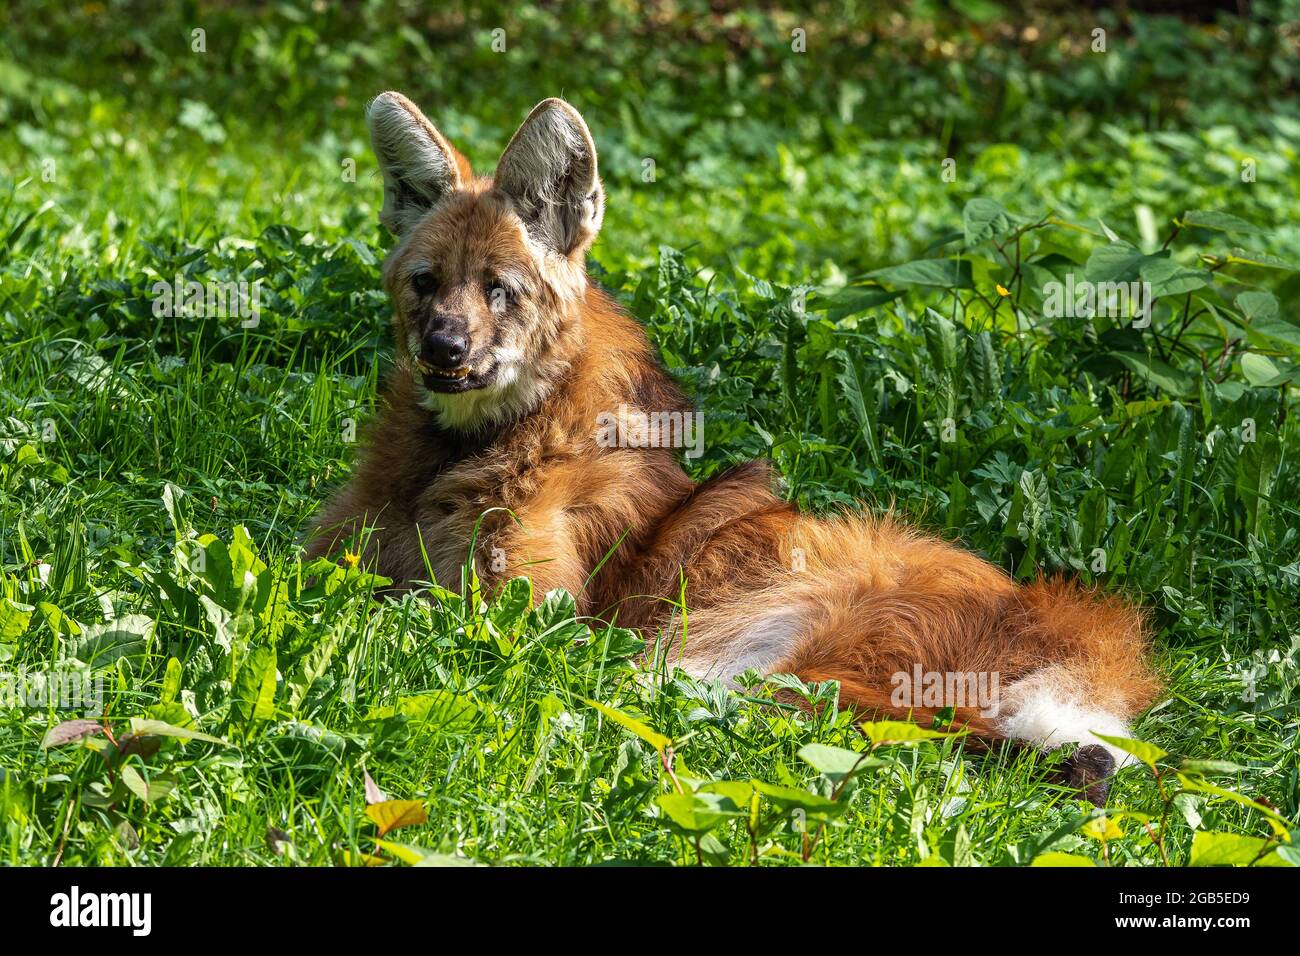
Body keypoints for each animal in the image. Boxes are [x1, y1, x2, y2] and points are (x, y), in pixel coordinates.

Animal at [307, 92, 1160, 805]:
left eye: (499, 289)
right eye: (426, 283)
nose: (444, 350)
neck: (461, 451)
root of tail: (1070, 621)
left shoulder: (525, 614)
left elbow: (409, 617)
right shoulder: (344, 554)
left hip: (799, 654)